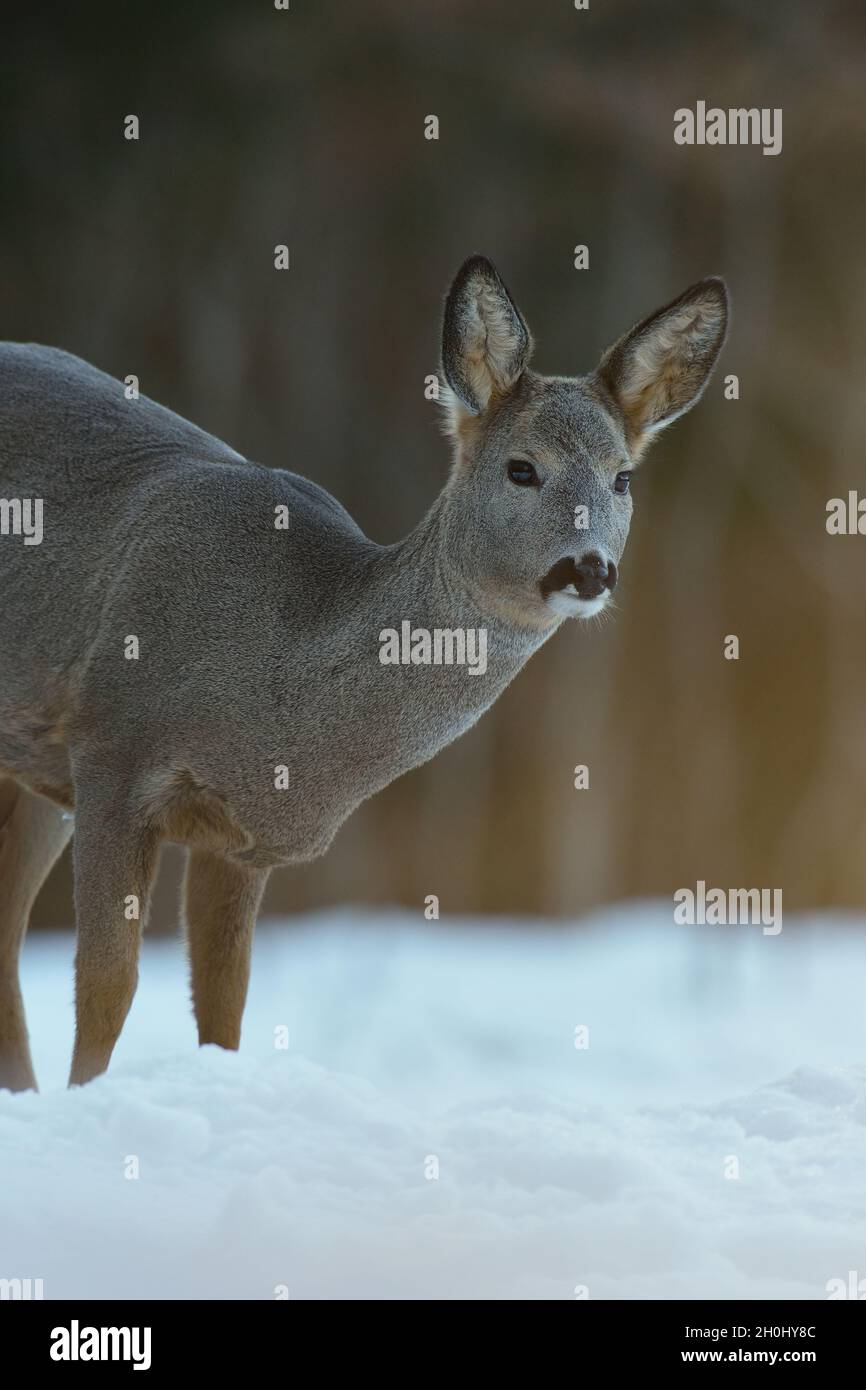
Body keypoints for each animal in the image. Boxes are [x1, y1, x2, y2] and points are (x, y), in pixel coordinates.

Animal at [0, 256, 728, 1089]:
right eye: (522, 469)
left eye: (623, 479)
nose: (590, 569)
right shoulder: (112, 753)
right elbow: (106, 984)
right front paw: (89, 1096)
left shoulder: (242, 840)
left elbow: (224, 1008)